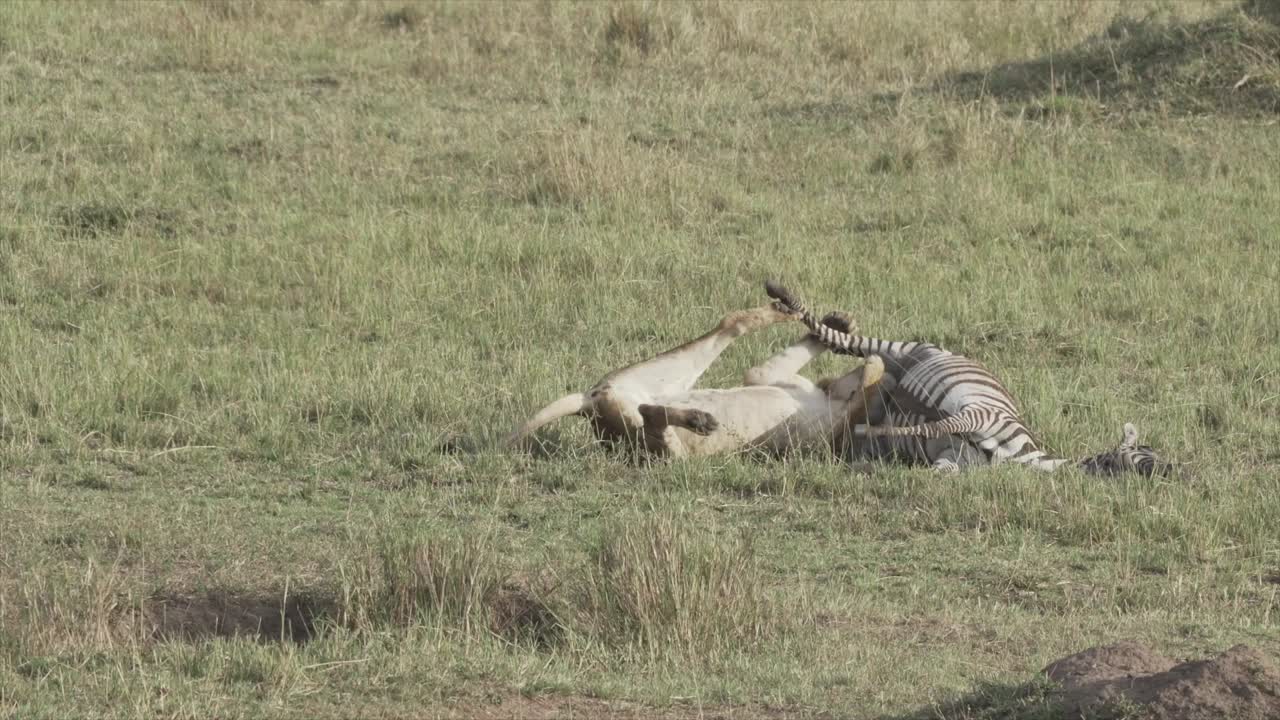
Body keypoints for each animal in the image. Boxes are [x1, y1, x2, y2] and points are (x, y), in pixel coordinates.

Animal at [764, 281, 1171, 477]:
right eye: (1144, 451)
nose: (1176, 472)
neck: (1019, 458)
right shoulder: (978, 414)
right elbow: (929, 425)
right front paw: (868, 436)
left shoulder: (953, 460)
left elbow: (935, 470)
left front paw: (865, 459)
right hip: (903, 349)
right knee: (846, 342)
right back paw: (782, 294)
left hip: (896, 367)